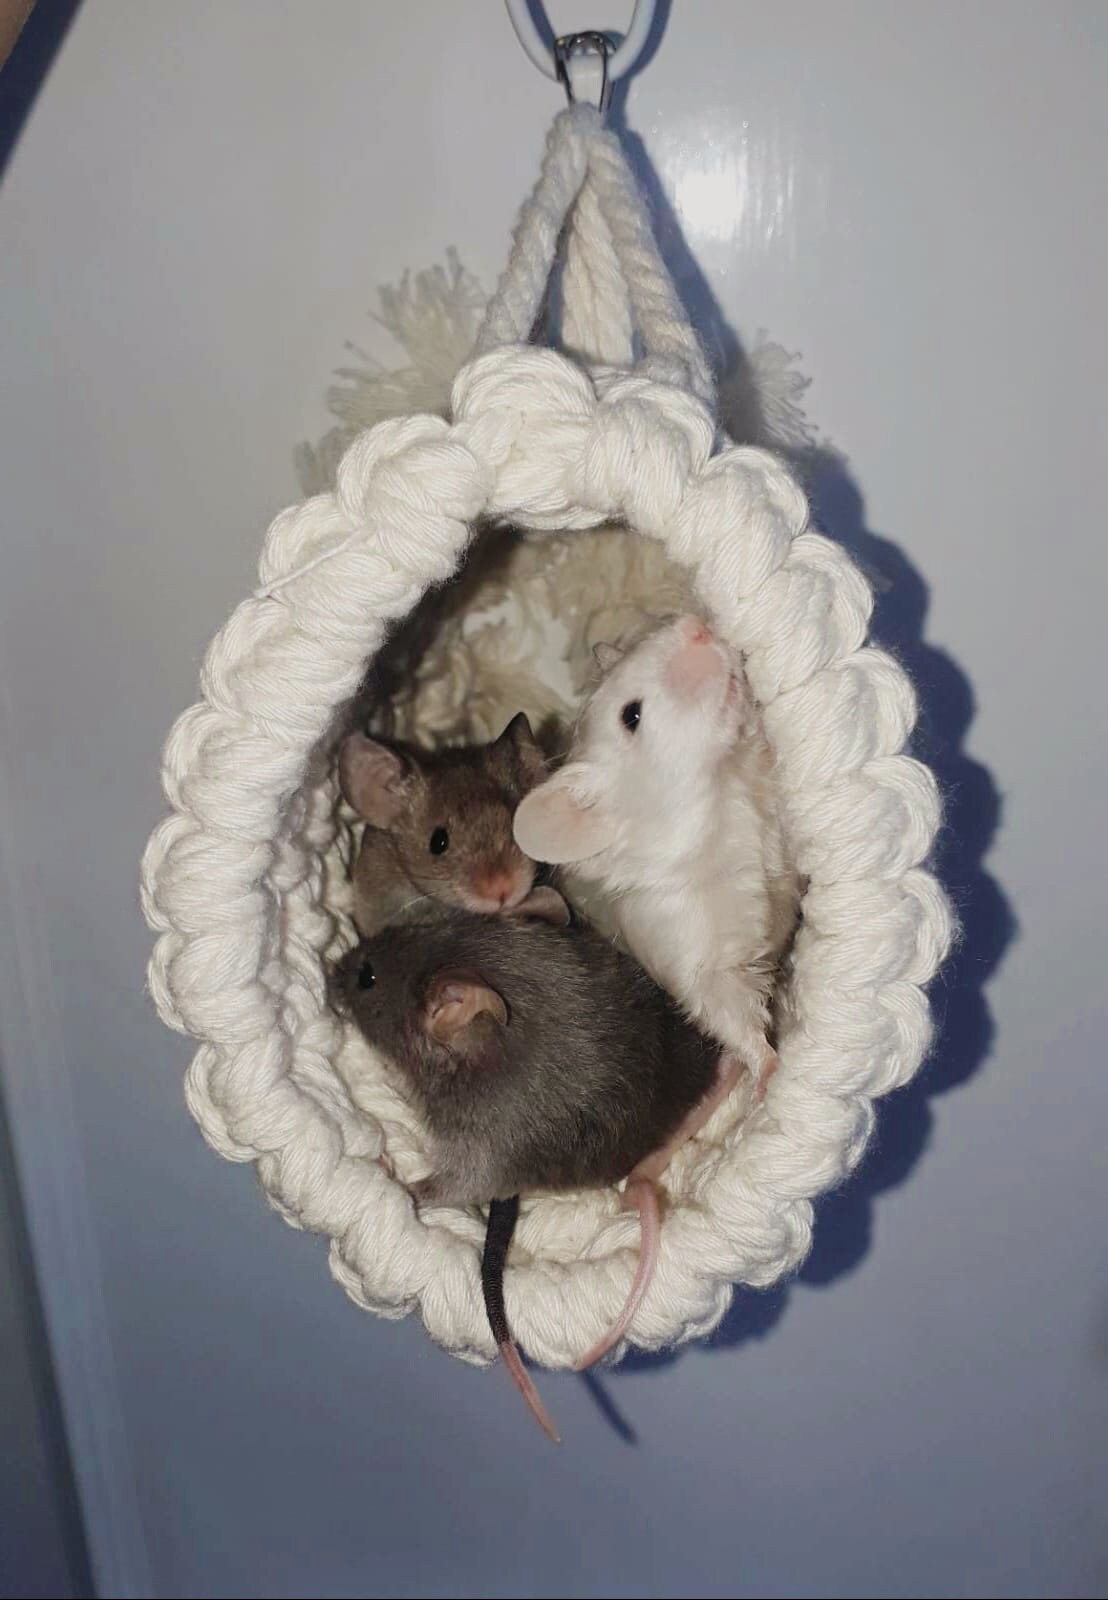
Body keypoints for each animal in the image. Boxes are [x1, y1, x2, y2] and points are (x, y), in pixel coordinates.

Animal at [329, 907, 726, 1442]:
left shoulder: (487, 1140)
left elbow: (446, 1187)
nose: (332, 968)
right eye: (414, 926)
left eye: (366, 977)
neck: (497, 1035)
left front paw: (394, 1172)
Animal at [514, 614, 801, 1084]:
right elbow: (725, 1009)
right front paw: (770, 1071)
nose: (697, 625)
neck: (724, 794)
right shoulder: (687, 944)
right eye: (631, 715)